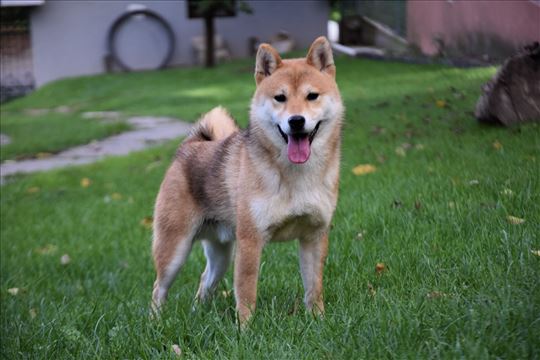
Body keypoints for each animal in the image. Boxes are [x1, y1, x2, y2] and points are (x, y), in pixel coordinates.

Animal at [151, 35, 346, 324]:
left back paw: (200, 312)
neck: (296, 176)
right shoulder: (250, 240)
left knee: (204, 281)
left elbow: (314, 286)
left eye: (312, 96)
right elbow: (246, 292)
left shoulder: (314, 235)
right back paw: (155, 322)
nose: (296, 120)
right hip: (175, 248)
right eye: (280, 98)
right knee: (159, 288)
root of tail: (190, 146)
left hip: (221, 254)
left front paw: (318, 320)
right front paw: (246, 328)